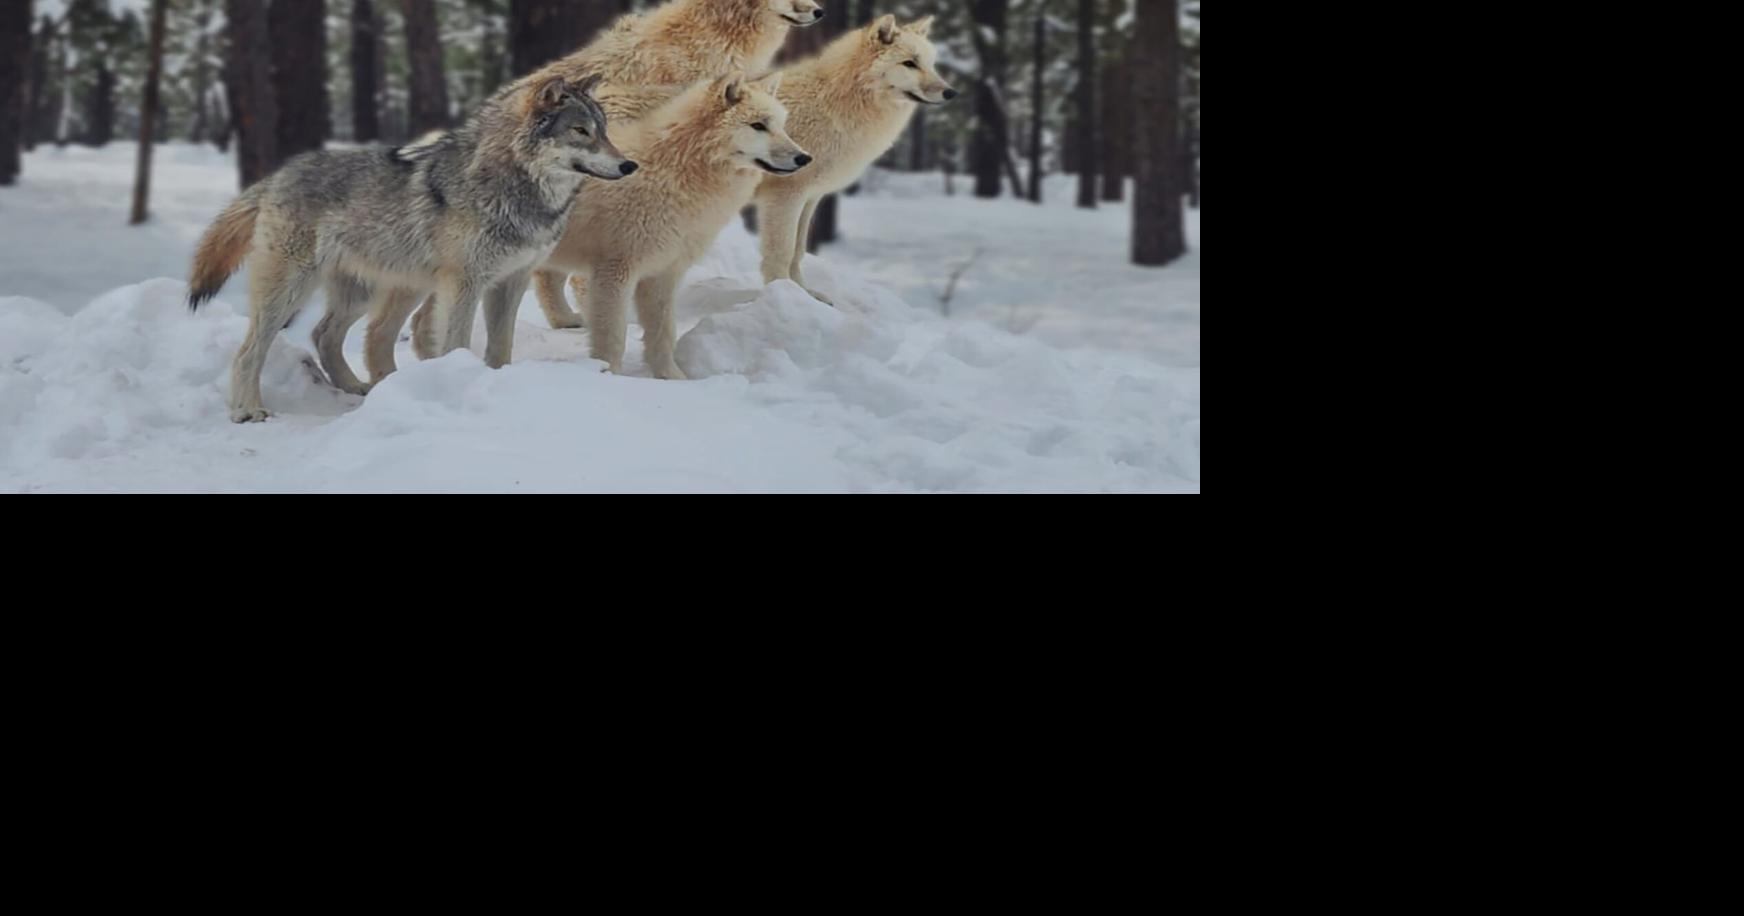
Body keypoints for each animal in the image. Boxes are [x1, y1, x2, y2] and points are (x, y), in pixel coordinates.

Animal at [185, 75, 633, 422]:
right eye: (580, 132)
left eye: (604, 130)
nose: (630, 166)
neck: (515, 189)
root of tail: (275, 177)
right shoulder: (464, 284)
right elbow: (455, 342)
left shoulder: (511, 281)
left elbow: (499, 347)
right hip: (291, 292)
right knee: (250, 350)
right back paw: (247, 411)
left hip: (375, 292)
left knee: (325, 334)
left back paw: (359, 387)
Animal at [381, 73, 809, 381]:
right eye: (758, 125)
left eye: (782, 125)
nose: (803, 158)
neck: (675, 171)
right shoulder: (613, 273)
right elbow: (612, 338)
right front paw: (612, 380)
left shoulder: (663, 275)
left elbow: (662, 336)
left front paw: (674, 380)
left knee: (423, 323)